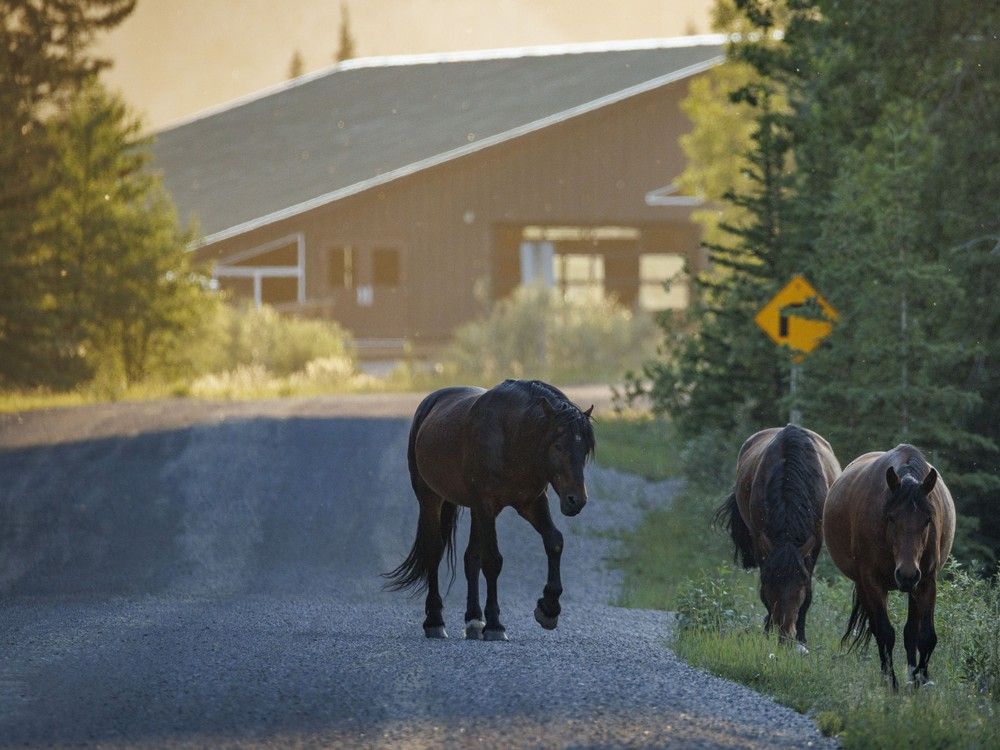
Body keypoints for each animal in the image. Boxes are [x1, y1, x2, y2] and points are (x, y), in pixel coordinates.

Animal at [383, 379, 595, 641]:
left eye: (585, 449)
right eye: (557, 446)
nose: (577, 500)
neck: (511, 437)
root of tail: (429, 404)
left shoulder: (530, 503)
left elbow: (554, 541)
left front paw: (548, 609)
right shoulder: (487, 503)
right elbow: (493, 561)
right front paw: (495, 625)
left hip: (476, 511)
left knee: (470, 558)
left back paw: (474, 620)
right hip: (431, 499)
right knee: (434, 552)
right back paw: (435, 621)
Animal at [716, 425, 841, 649]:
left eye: (800, 584)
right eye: (770, 582)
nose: (785, 634)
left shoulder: (815, 543)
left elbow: (808, 596)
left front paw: (801, 638)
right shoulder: (760, 540)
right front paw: (768, 631)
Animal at [823, 444, 955, 690]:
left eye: (928, 519)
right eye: (891, 517)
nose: (907, 575)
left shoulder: (926, 582)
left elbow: (925, 636)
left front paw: (921, 681)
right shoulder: (872, 582)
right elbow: (885, 633)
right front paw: (891, 683)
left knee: (910, 632)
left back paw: (912, 676)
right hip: (866, 586)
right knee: (879, 630)